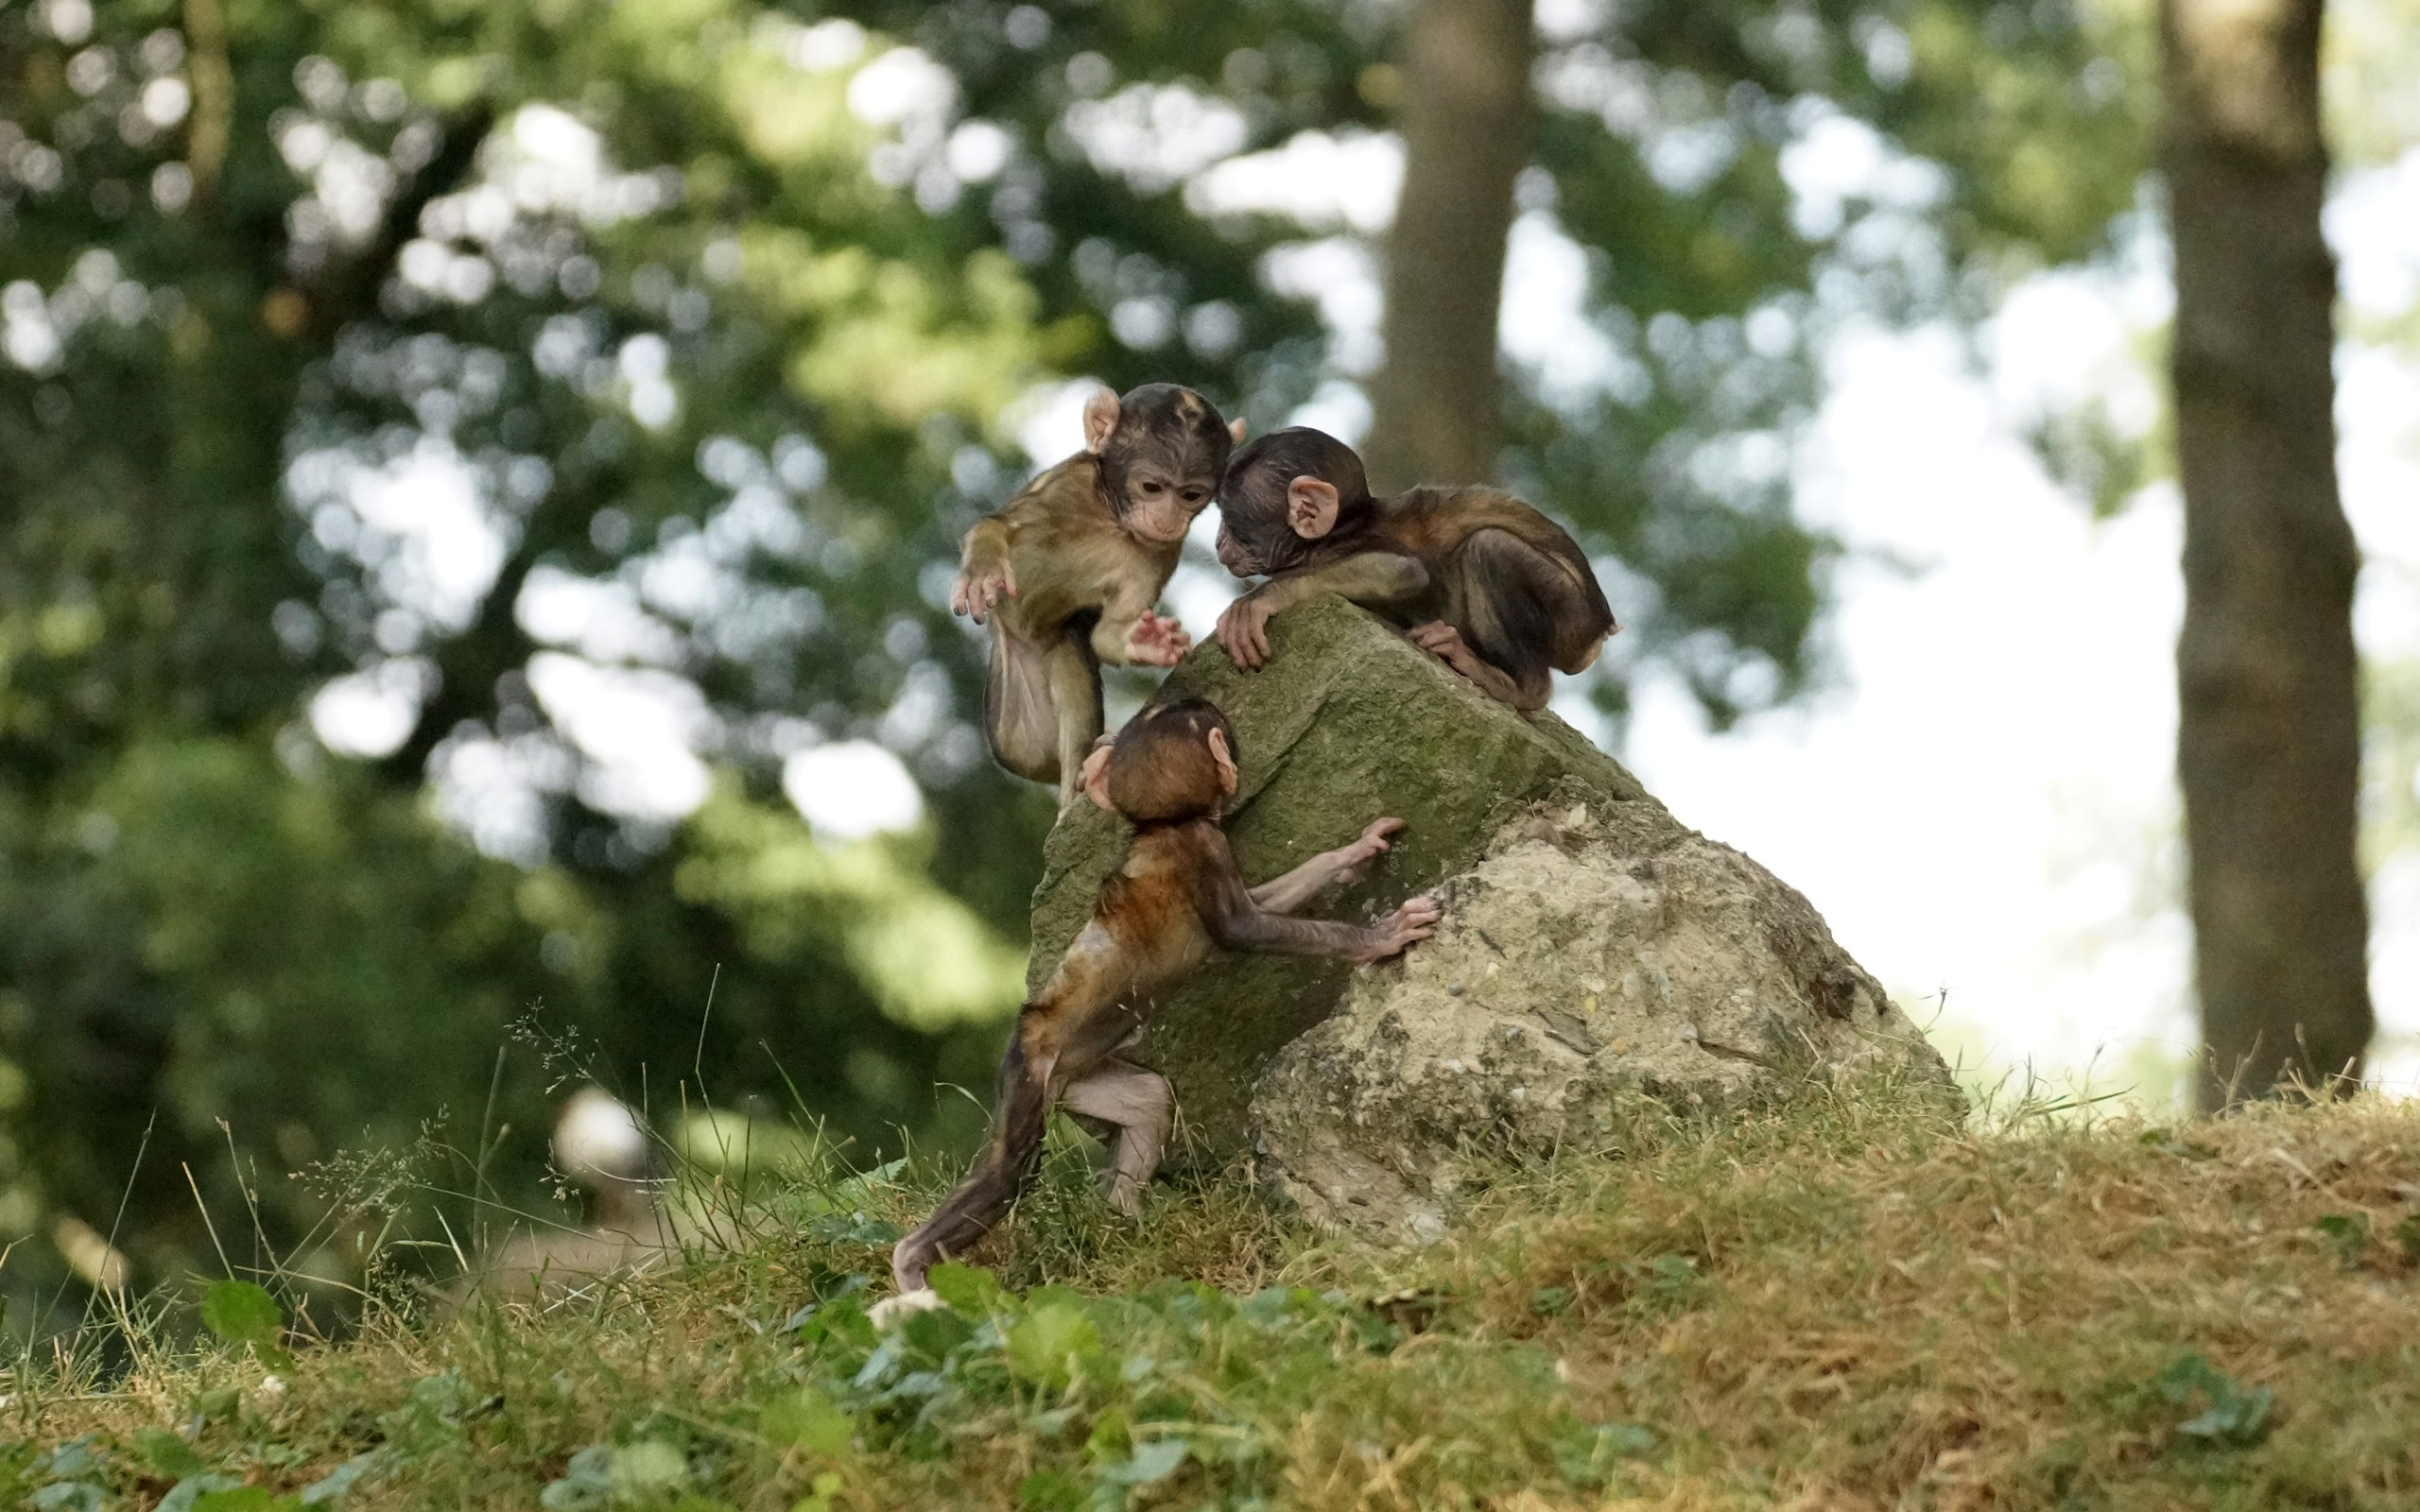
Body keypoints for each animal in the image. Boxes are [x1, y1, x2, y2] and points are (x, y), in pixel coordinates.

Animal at [888, 697, 1439, 1295]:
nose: (1236, 760)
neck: (1162, 825)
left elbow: (1264, 902)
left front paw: (1355, 850)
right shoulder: (1202, 844)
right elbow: (1244, 928)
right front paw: (1379, 938)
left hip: (1080, 1080)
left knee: (1150, 1098)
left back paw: (1122, 1224)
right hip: (1030, 1072)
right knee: (1010, 1168)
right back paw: (910, 1264)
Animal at [952, 383, 1244, 808]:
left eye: (1190, 495)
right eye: (1152, 487)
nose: (1167, 520)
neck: (1110, 514)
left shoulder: (1159, 553)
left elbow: (1108, 635)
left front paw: (1148, 640)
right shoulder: (1067, 485)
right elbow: (997, 526)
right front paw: (982, 568)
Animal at [1210, 428, 1618, 712]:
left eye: (1230, 520)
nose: (1217, 541)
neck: (1341, 530)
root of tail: (1597, 636)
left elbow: (1401, 572)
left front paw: (1261, 600)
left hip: (1571, 620)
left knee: (1488, 546)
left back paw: (1520, 687)